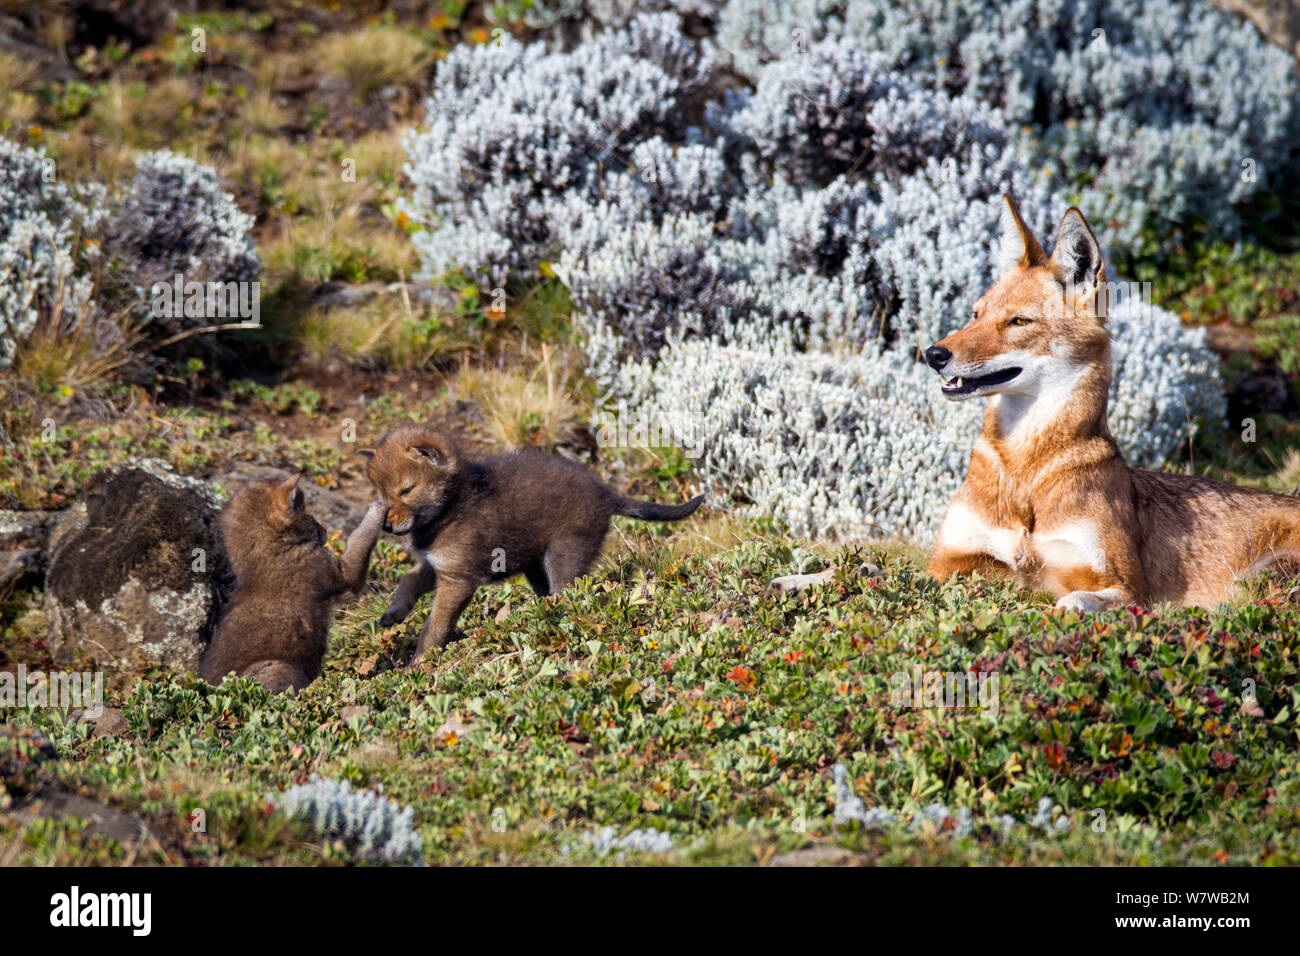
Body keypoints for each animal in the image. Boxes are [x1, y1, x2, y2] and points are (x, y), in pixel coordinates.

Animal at [359, 424, 703, 664]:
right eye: (381, 494)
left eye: (406, 490)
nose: (386, 526)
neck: (450, 508)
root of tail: (607, 495)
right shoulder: (435, 565)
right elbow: (407, 581)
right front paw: (393, 614)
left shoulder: (457, 579)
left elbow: (434, 627)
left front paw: (419, 662)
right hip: (537, 570)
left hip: (563, 556)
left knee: (570, 593)